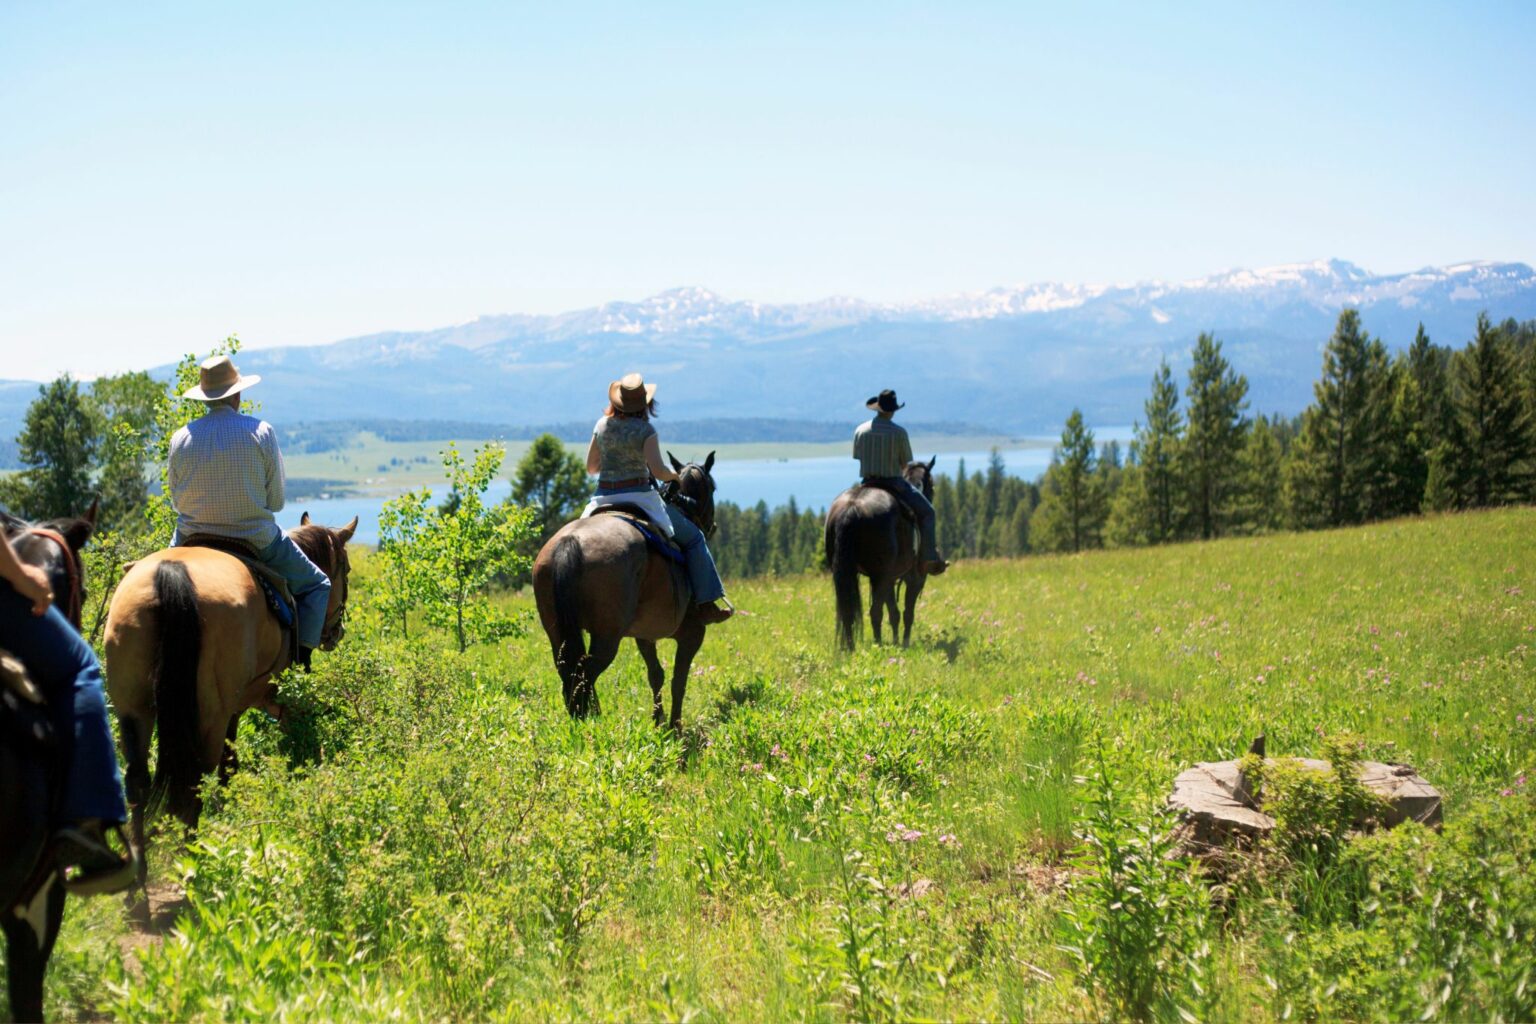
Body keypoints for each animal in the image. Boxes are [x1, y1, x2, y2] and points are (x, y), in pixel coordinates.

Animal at [102, 513, 357, 922]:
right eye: (344, 569)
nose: (336, 633)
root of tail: (171, 577)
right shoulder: (241, 702)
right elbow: (230, 760)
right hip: (209, 712)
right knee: (192, 782)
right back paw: (190, 873)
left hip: (132, 707)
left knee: (138, 783)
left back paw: (137, 892)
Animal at [532, 453, 718, 729]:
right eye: (712, 488)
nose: (712, 527)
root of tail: (570, 542)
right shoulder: (693, 633)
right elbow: (678, 680)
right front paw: (675, 726)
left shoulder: (645, 635)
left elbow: (656, 674)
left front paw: (658, 721)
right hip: (607, 636)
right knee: (584, 674)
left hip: (558, 632)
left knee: (570, 672)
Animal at [824, 457, 938, 650]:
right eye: (932, 485)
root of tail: (851, 508)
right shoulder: (914, 578)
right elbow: (907, 612)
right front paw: (904, 642)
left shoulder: (889, 579)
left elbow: (894, 612)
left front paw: (896, 641)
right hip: (880, 575)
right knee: (875, 612)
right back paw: (877, 644)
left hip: (850, 573)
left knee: (849, 611)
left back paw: (851, 646)